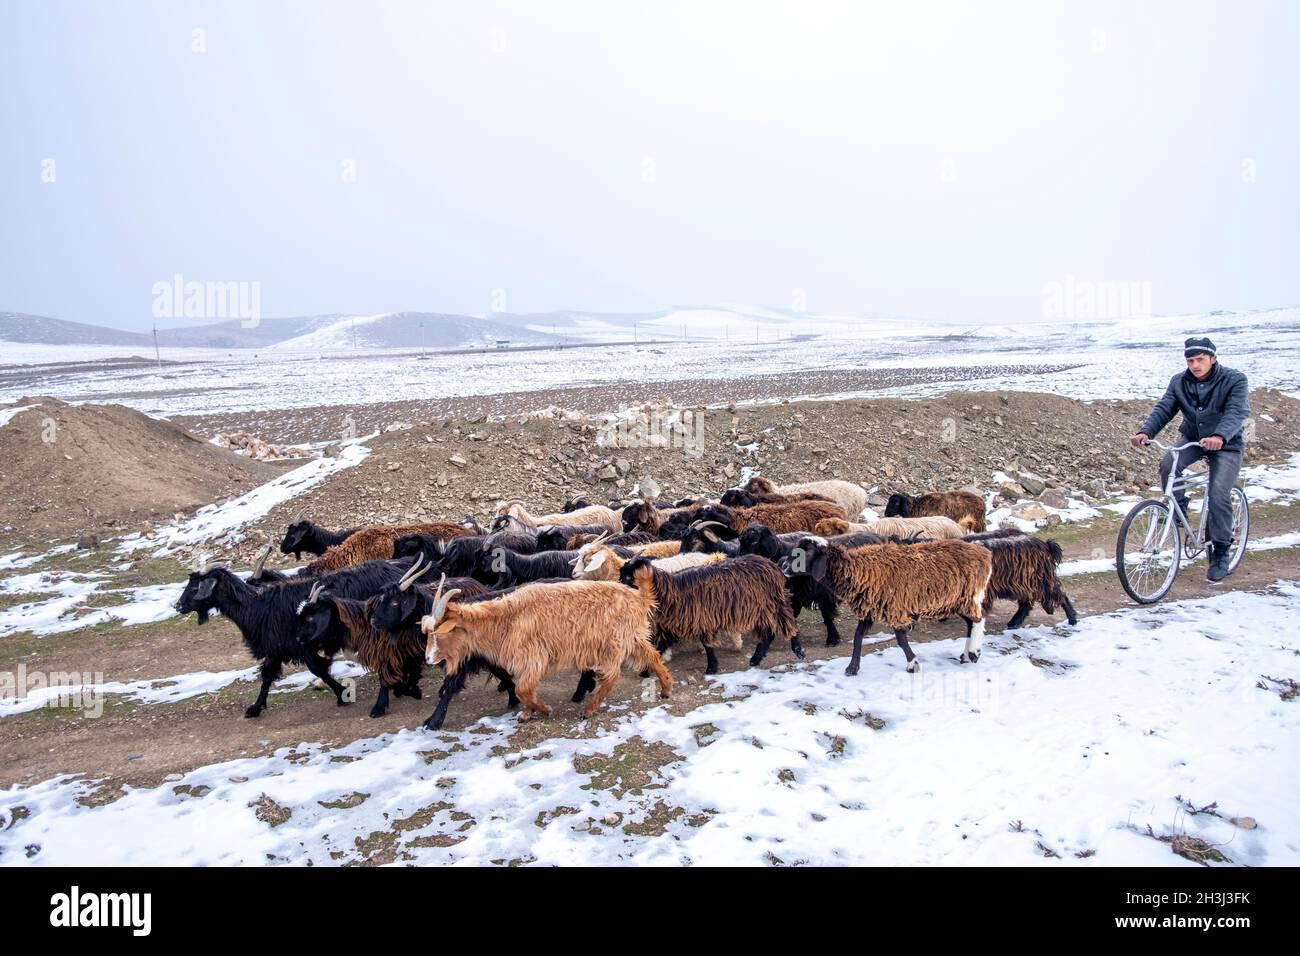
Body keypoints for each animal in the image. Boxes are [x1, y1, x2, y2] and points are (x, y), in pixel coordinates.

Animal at [421, 576, 671, 719]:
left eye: (440, 633)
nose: (428, 659)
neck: (506, 619)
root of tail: (639, 597)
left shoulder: (533, 657)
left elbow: (522, 689)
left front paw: (543, 710)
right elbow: (523, 689)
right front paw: (527, 713)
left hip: (612, 643)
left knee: (611, 676)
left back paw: (589, 710)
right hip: (633, 638)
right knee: (652, 656)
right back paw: (666, 689)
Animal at [783, 536, 991, 676]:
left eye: (807, 551)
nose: (783, 565)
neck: (858, 570)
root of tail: (984, 554)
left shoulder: (895, 607)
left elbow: (900, 639)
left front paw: (912, 664)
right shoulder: (868, 609)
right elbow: (858, 637)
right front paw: (852, 668)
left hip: (966, 596)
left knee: (978, 620)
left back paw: (973, 653)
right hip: (955, 600)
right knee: (971, 623)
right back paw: (967, 655)